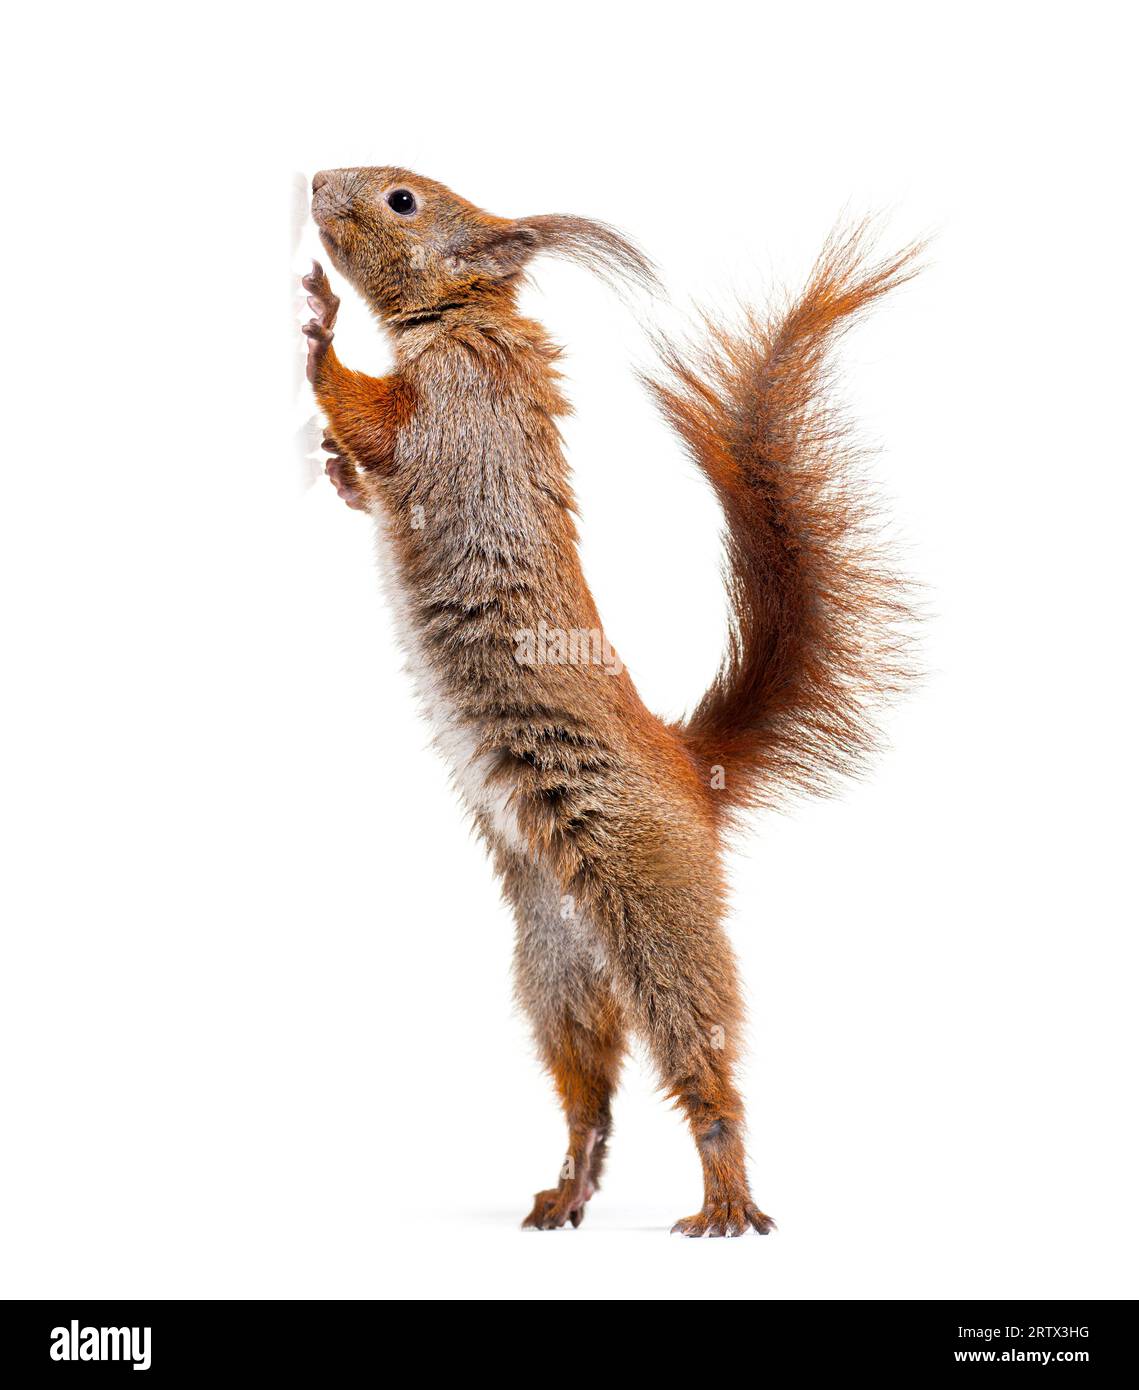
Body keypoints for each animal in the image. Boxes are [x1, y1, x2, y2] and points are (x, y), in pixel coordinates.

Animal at [301, 167, 919, 1236]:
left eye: (400, 199)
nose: (314, 180)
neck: (466, 321)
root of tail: (692, 772)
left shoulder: (460, 407)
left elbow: (372, 418)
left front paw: (321, 331)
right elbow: (363, 474)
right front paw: (329, 467)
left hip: (656, 918)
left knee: (701, 1066)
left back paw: (725, 1199)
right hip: (555, 965)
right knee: (593, 1091)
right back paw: (569, 1187)